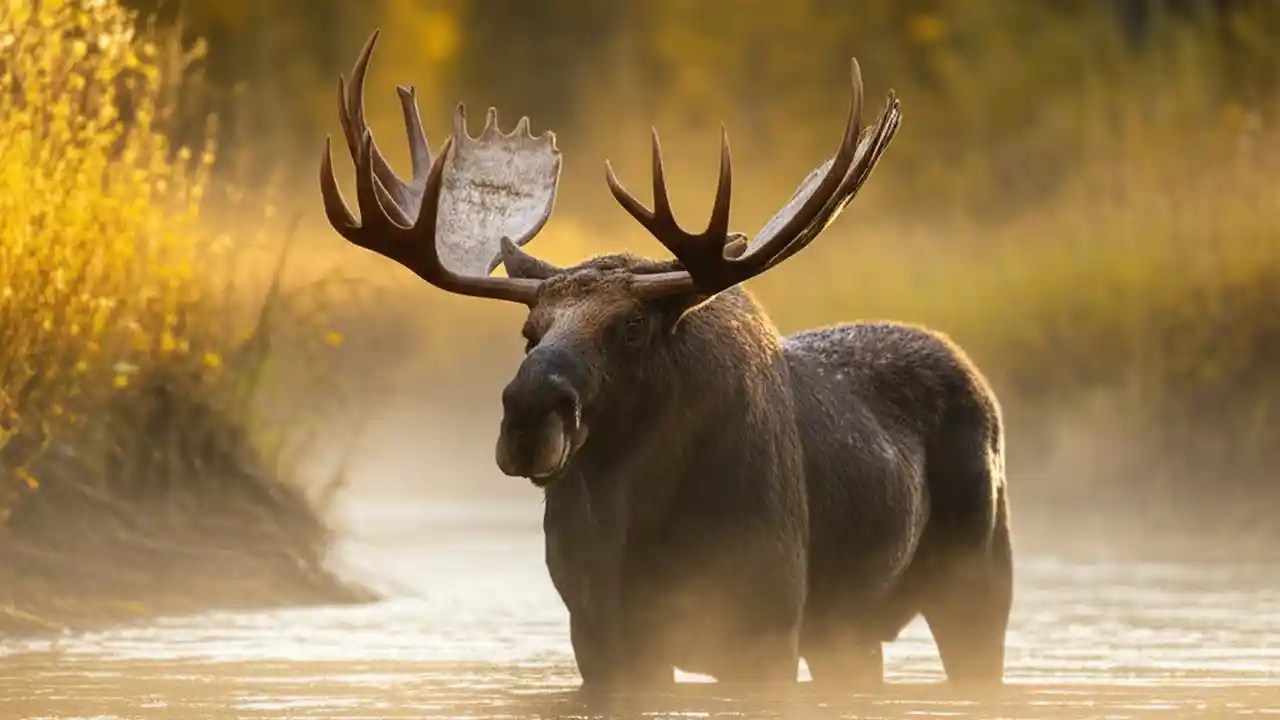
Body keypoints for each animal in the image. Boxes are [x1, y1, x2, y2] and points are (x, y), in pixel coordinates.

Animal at [320, 31, 1013, 690]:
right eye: (528, 330)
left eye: (631, 327)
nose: (527, 414)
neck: (634, 522)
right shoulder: (597, 633)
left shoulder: (767, 624)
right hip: (847, 633)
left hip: (979, 582)